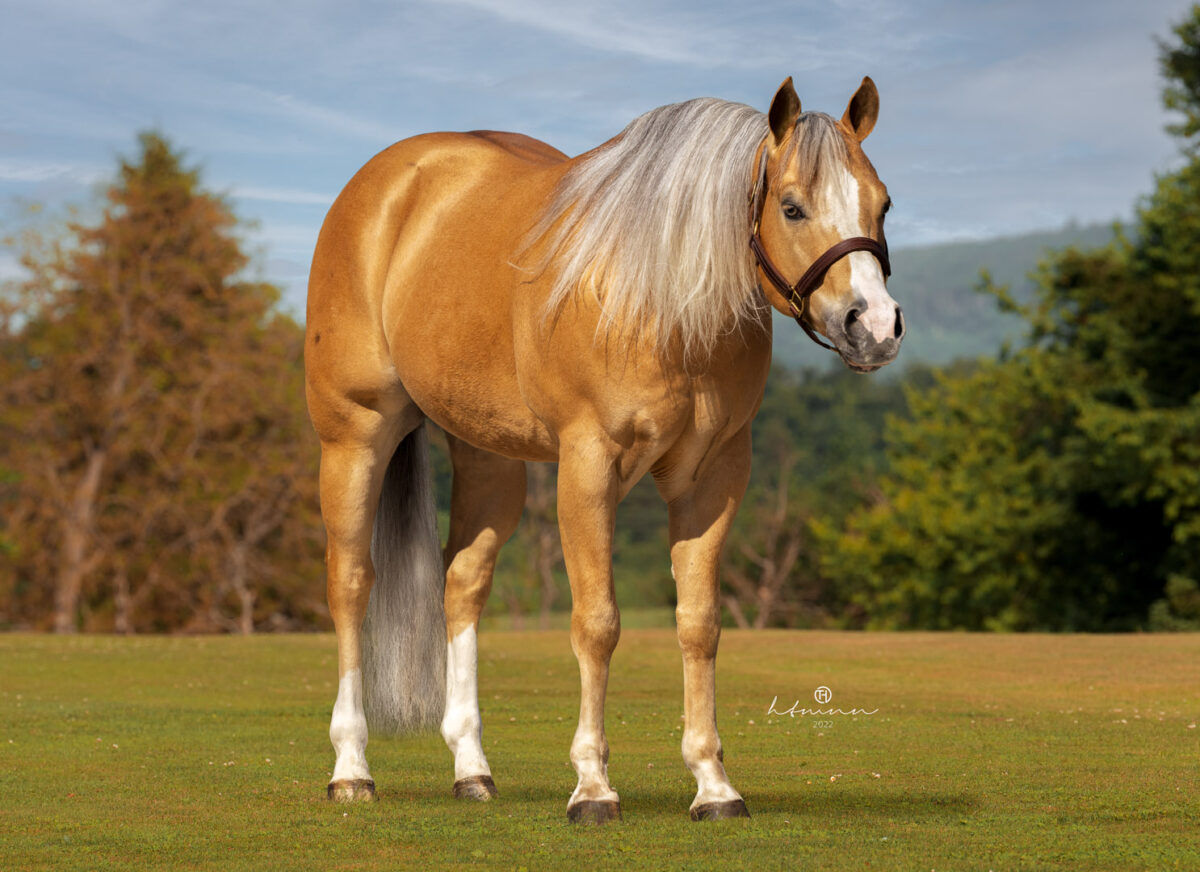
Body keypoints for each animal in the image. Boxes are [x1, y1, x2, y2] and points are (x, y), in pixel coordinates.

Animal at [304, 76, 903, 823]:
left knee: (461, 586)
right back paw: (351, 768)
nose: (873, 327)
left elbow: (699, 624)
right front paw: (592, 786)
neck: (661, 298)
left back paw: (472, 769)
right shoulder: (588, 466)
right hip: (354, 438)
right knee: (351, 585)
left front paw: (713, 784)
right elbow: (597, 623)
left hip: (489, 458)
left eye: (883, 203)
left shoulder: (714, 477)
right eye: (792, 207)